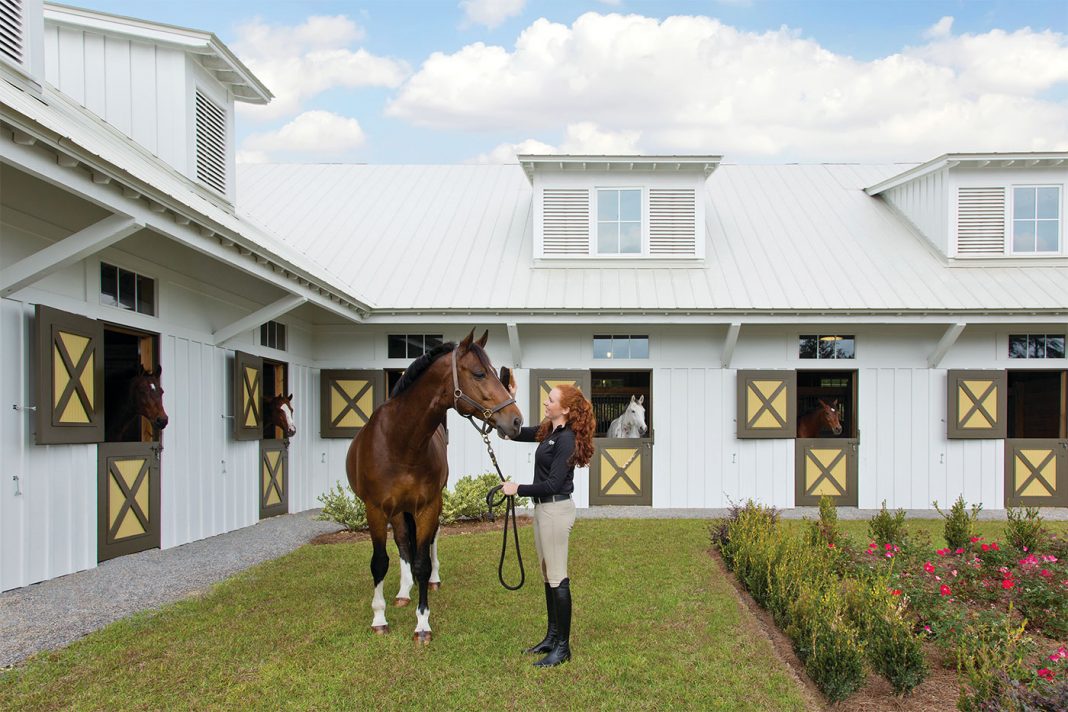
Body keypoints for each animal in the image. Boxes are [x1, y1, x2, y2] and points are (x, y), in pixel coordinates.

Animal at [346, 329, 523, 642]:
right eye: (479, 373)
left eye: (495, 372)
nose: (515, 421)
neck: (399, 443)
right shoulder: (375, 509)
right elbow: (380, 562)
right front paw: (379, 618)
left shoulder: (428, 505)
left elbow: (423, 561)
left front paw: (422, 624)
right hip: (396, 511)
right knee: (403, 542)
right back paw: (403, 592)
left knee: (427, 543)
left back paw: (430, 582)